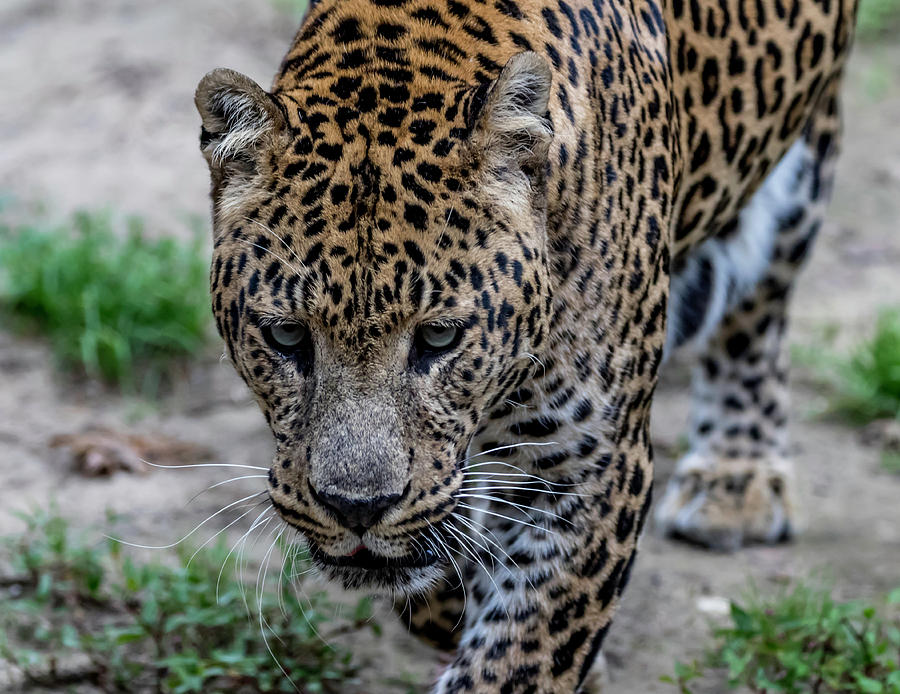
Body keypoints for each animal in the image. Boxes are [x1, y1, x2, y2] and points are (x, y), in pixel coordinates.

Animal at [194, 0, 857, 688]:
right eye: (286, 334)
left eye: (439, 336)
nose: (357, 510)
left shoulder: (592, 464)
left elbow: (518, 659)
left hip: (801, 169)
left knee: (759, 301)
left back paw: (737, 475)